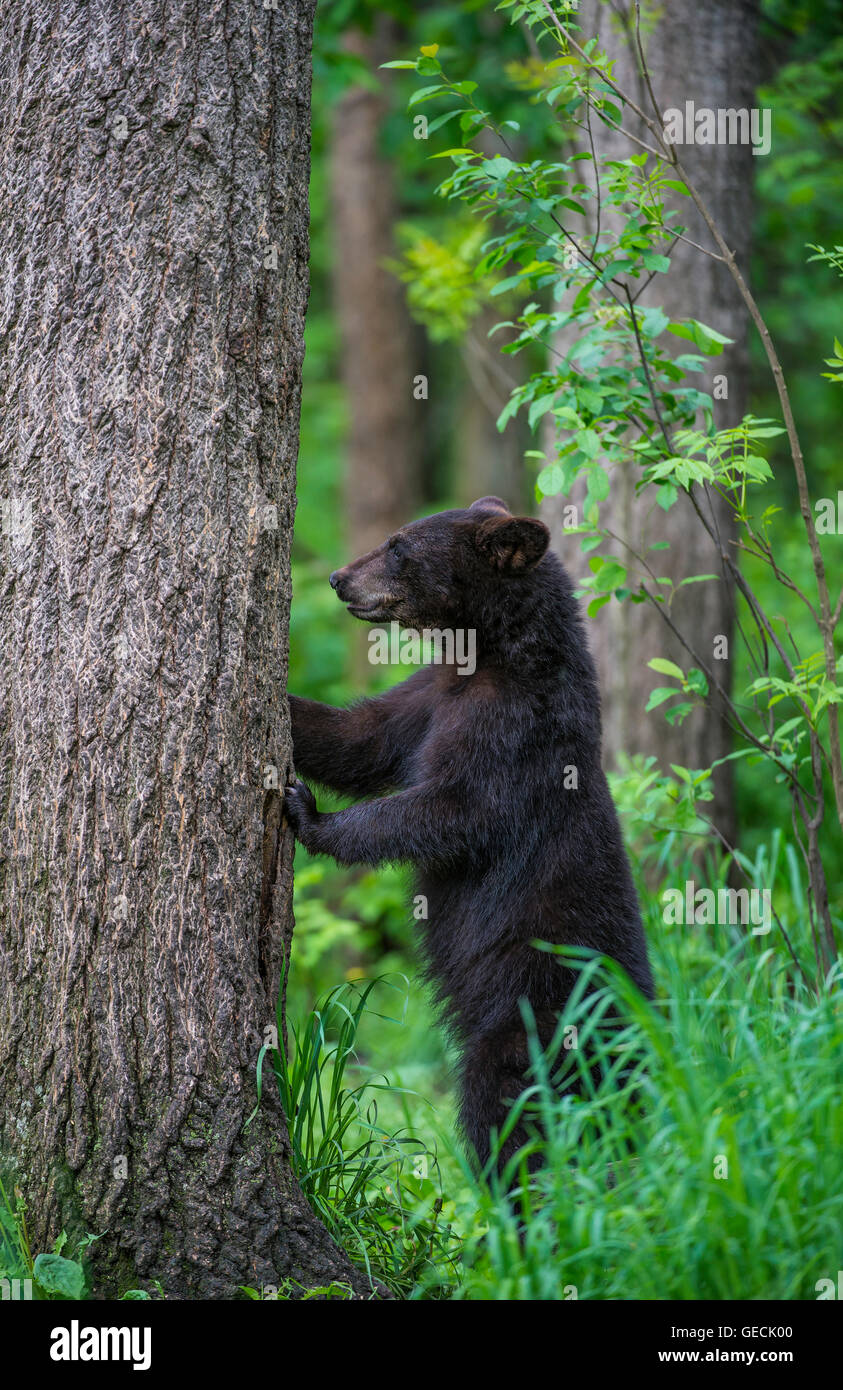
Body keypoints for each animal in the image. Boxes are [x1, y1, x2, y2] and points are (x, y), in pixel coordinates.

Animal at [284, 496, 654, 1174]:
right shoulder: (431, 697)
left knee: (508, 1111)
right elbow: (359, 738)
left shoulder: (515, 731)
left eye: (400, 547)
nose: (340, 579)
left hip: (528, 1016)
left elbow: (451, 810)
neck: (489, 652)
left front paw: (311, 815)